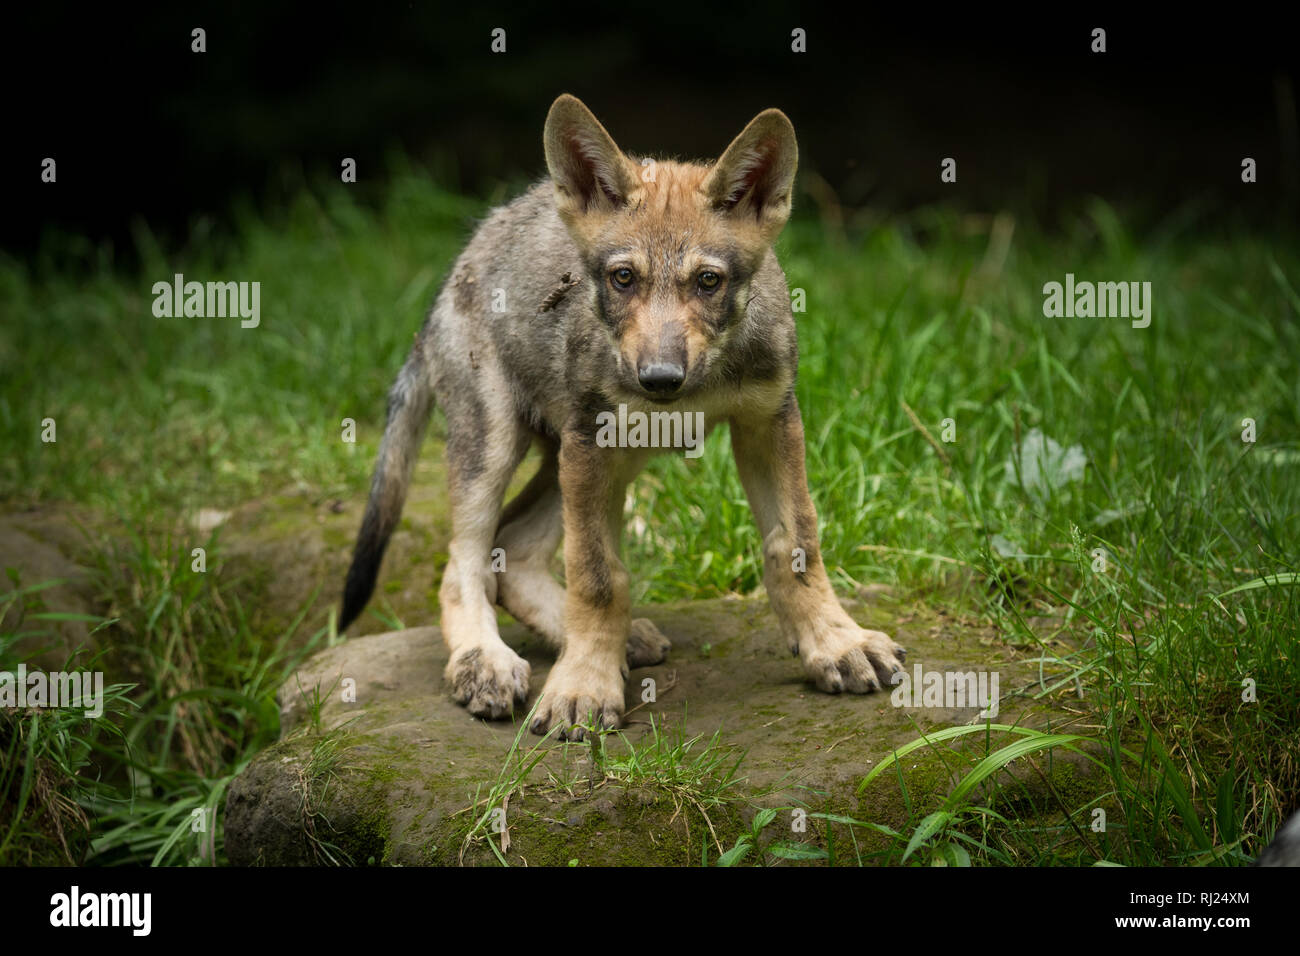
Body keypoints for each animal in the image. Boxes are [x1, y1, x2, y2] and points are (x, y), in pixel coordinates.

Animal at [338, 94, 905, 739]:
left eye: (707, 282)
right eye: (623, 278)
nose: (659, 378)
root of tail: (450, 275)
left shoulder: (768, 421)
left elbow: (796, 546)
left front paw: (835, 644)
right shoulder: (592, 444)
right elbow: (598, 578)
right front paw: (583, 685)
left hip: (604, 458)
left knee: (512, 551)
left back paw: (614, 641)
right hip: (504, 445)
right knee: (465, 563)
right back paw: (485, 662)